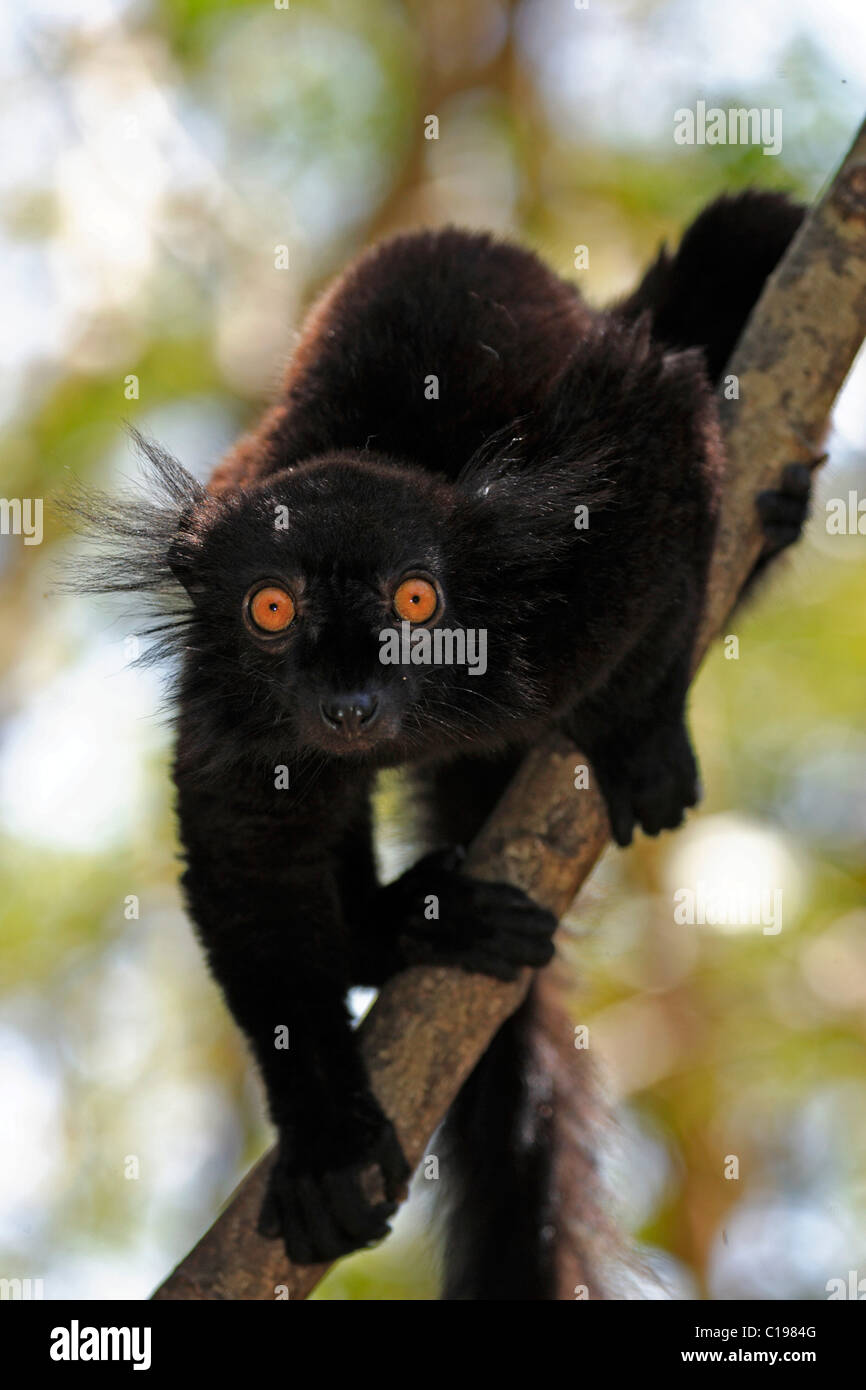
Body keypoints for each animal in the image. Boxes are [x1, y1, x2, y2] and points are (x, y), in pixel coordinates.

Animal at [71, 189, 811, 1299]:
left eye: (415, 601)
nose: (348, 703)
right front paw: (326, 1141)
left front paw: (640, 732)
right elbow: (251, 864)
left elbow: (666, 451)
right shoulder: (226, 695)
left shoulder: (568, 583)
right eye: (271, 608)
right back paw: (409, 925)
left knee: (750, 230)